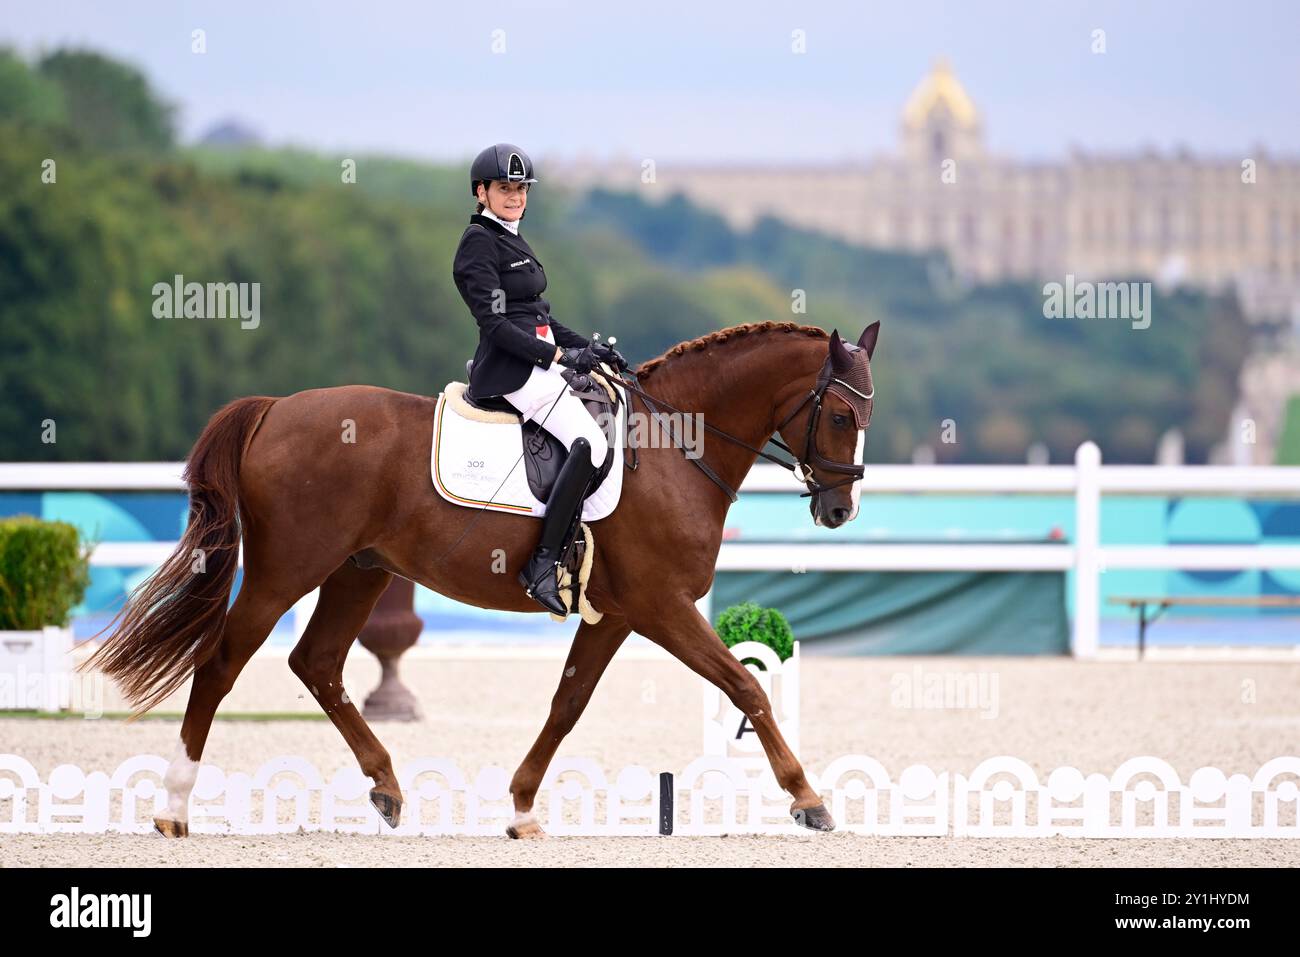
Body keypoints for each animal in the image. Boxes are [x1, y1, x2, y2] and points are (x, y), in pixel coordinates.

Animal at [84, 319, 879, 838]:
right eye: (843, 413)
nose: (840, 509)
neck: (675, 446)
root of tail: (275, 409)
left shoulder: (620, 613)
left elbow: (568, 703)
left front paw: (523, 808)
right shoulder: (663, 606)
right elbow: (745, 685)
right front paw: (808, 798)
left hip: (357, 572)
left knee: (317, 663)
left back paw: (387, 786)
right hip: (286, 570)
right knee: (221, 663)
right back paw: (173, 807)